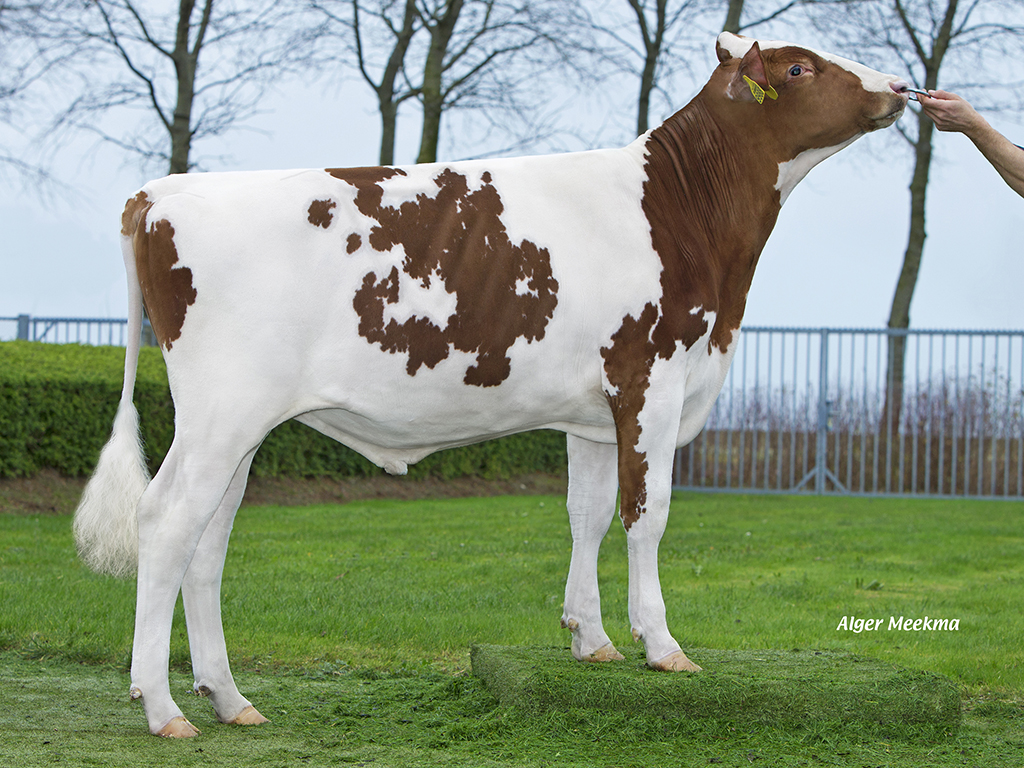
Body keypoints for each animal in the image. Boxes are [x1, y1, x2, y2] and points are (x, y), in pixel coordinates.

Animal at [73, 32, 909, 737]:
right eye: (800, 68)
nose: (900, 86)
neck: (682, 217)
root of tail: (161, 193)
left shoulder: (594, 412)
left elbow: (587, 514)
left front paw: (591, 639)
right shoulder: (652, 380)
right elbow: (647, 515)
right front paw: (662, 645)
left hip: (236, 426)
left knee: (207, 540)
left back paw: (228, 698)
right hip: (222, 412)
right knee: (166, 522)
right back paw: (162, 707)